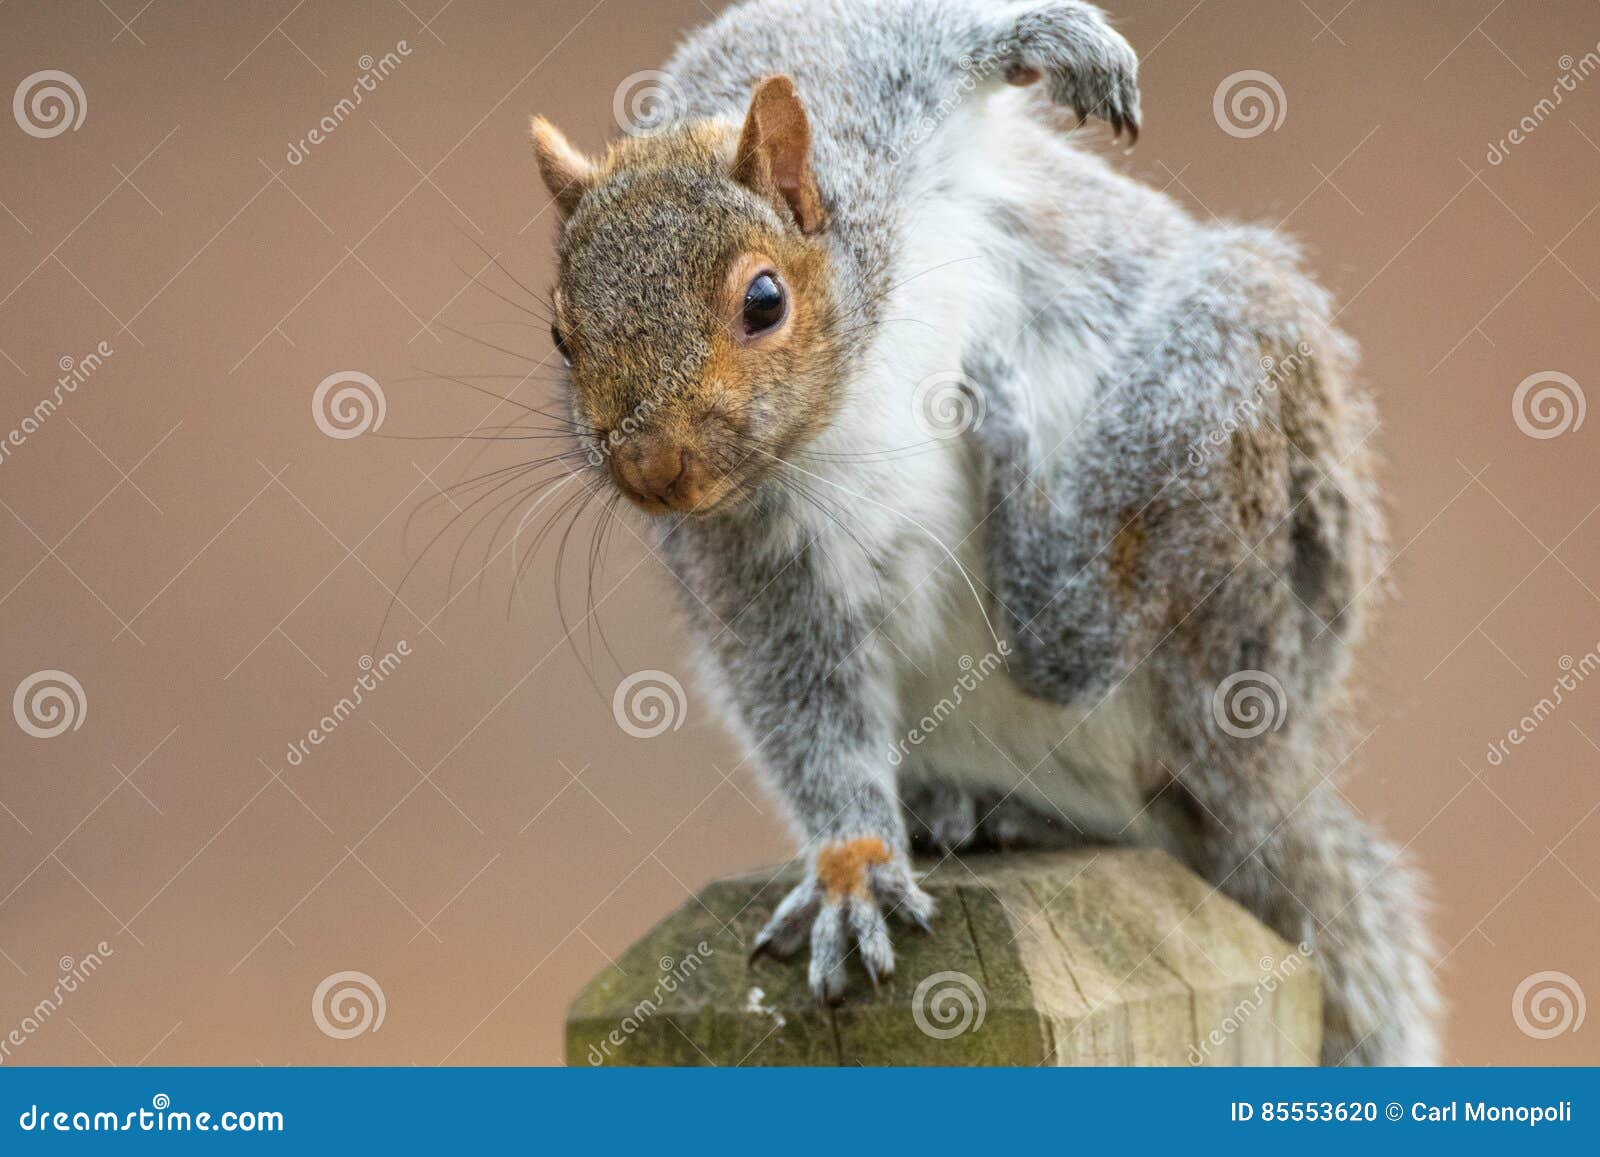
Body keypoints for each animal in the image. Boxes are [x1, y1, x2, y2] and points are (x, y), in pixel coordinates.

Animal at [528, 0, 1439, 1064]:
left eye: (764, 300)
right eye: (561, 336)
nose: (650, 471)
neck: (850, 385)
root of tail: (1265, 781)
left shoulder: (855, 78)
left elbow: (924, 29)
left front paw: (1059, 42)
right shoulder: (751, 556)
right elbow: (804, 702)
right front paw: (853, 868)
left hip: (1233, 442)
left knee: (1082, 646)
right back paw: (958, 808)